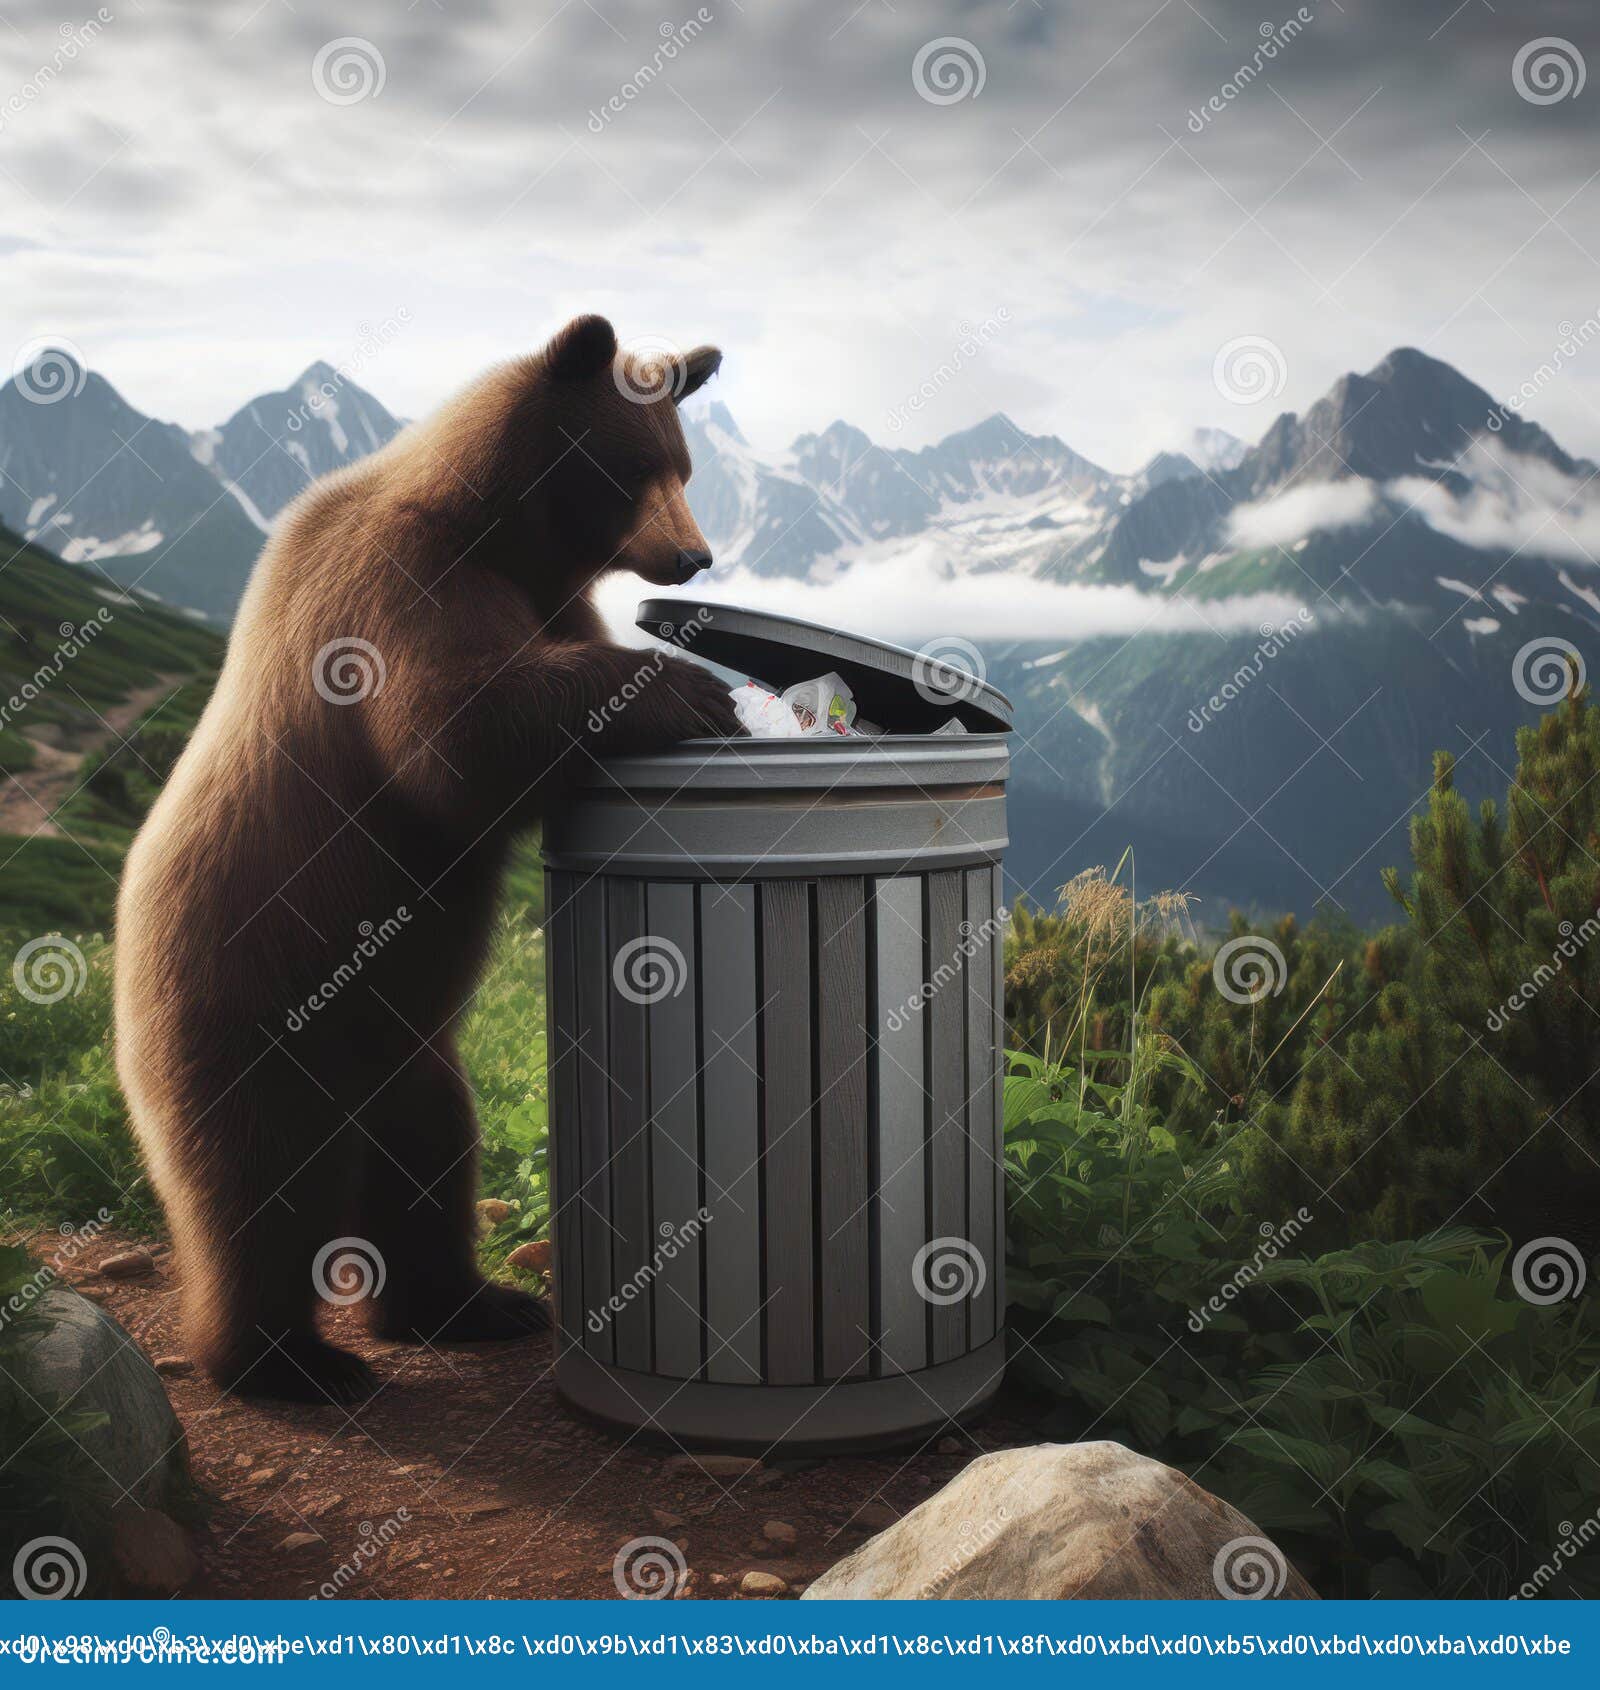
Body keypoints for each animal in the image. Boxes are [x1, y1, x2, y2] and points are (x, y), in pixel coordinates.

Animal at [114, 315, 741, 1403]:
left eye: (683, 463)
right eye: (632, 467)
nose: (693, 554)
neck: (502, 536)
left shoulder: (541, 597)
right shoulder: (401, 587)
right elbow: (455, 732)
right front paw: (691, 690)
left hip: (410, 1056)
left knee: (432, 1157)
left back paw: (468, 1305)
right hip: (244, 1003)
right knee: (255, 1185)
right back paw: (284, 1360)